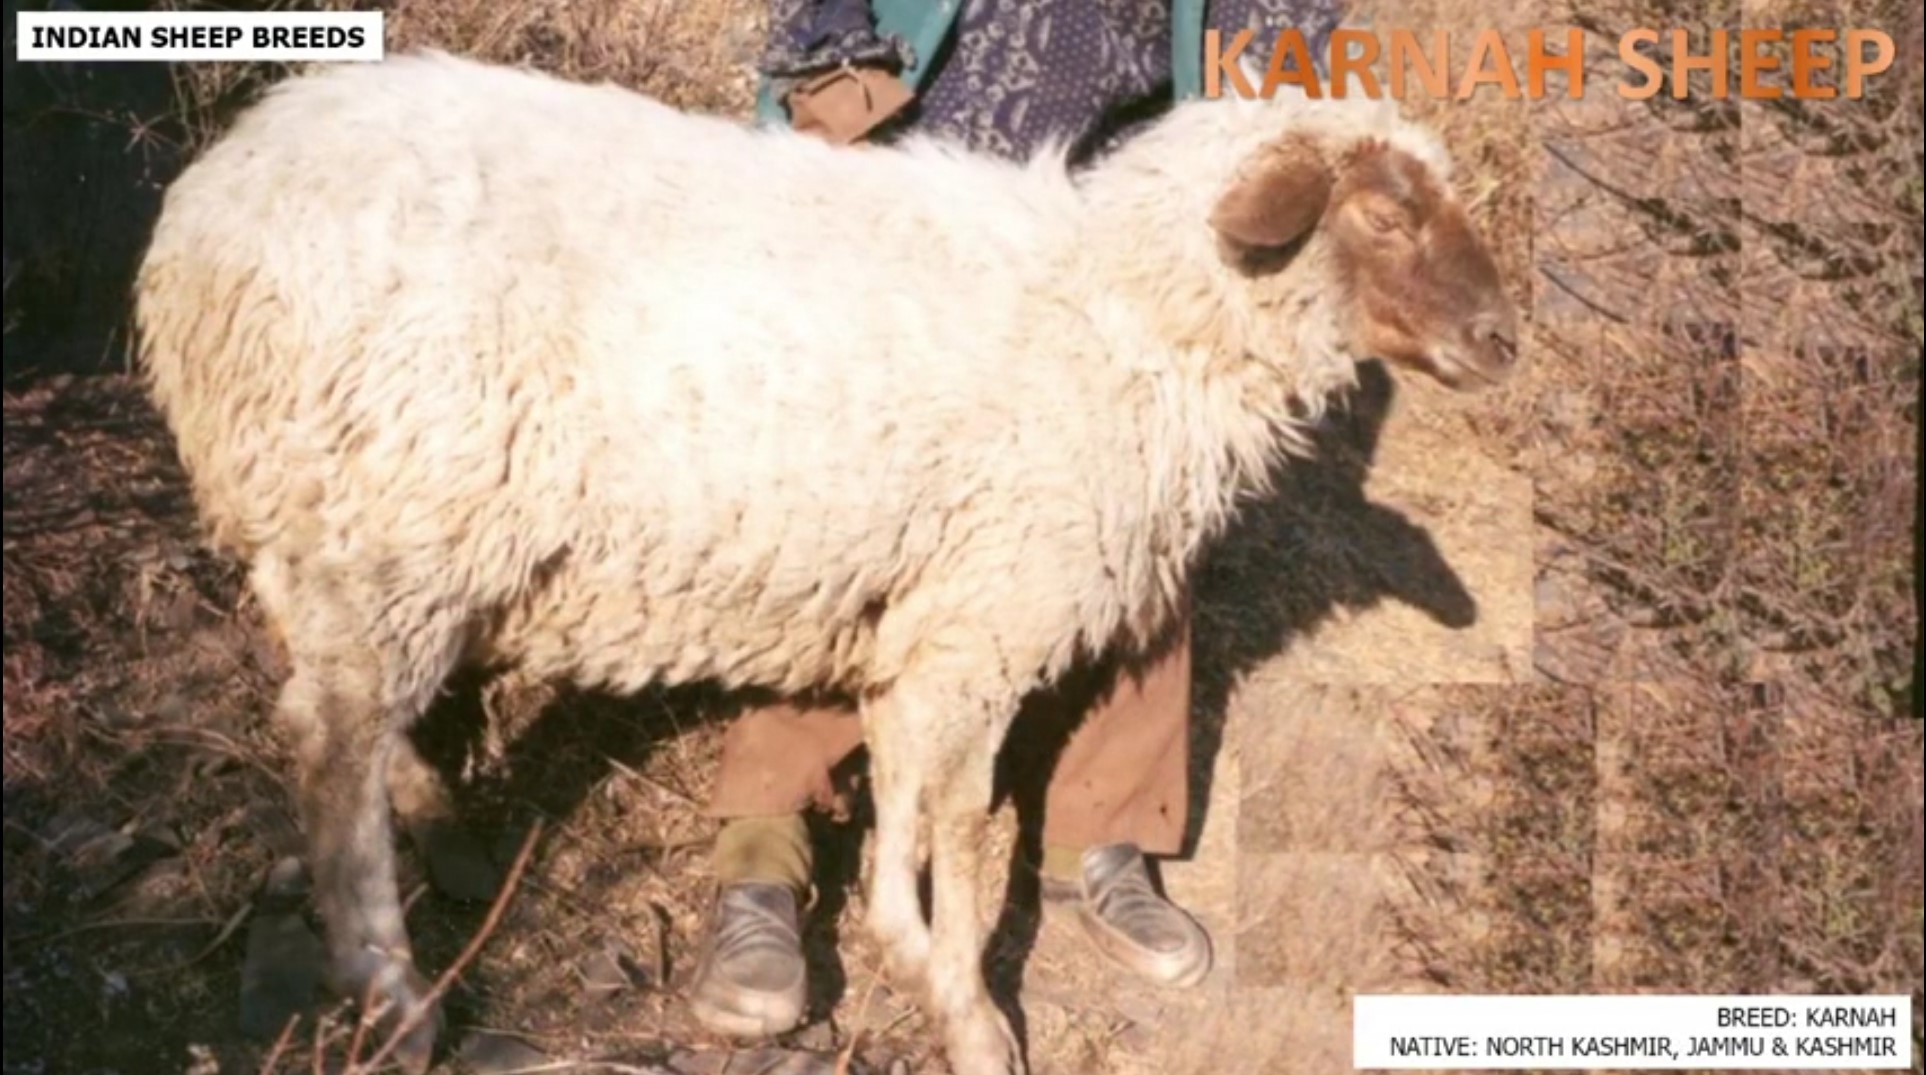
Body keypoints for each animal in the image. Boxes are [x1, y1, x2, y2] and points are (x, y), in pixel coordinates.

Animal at [133, 49, 1519, 1075]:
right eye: (1385, 211)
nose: (1507, 340)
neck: (1131, 314)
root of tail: (205, 218)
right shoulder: (986, 614)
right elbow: (965, 822)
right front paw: (970, 1011)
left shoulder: (933, 619)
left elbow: (909, 797)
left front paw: (904, 944)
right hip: (396, 517)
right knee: (330, 747)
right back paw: (395, 994)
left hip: (338, 531)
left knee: (354, 718)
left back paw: (445, 839)